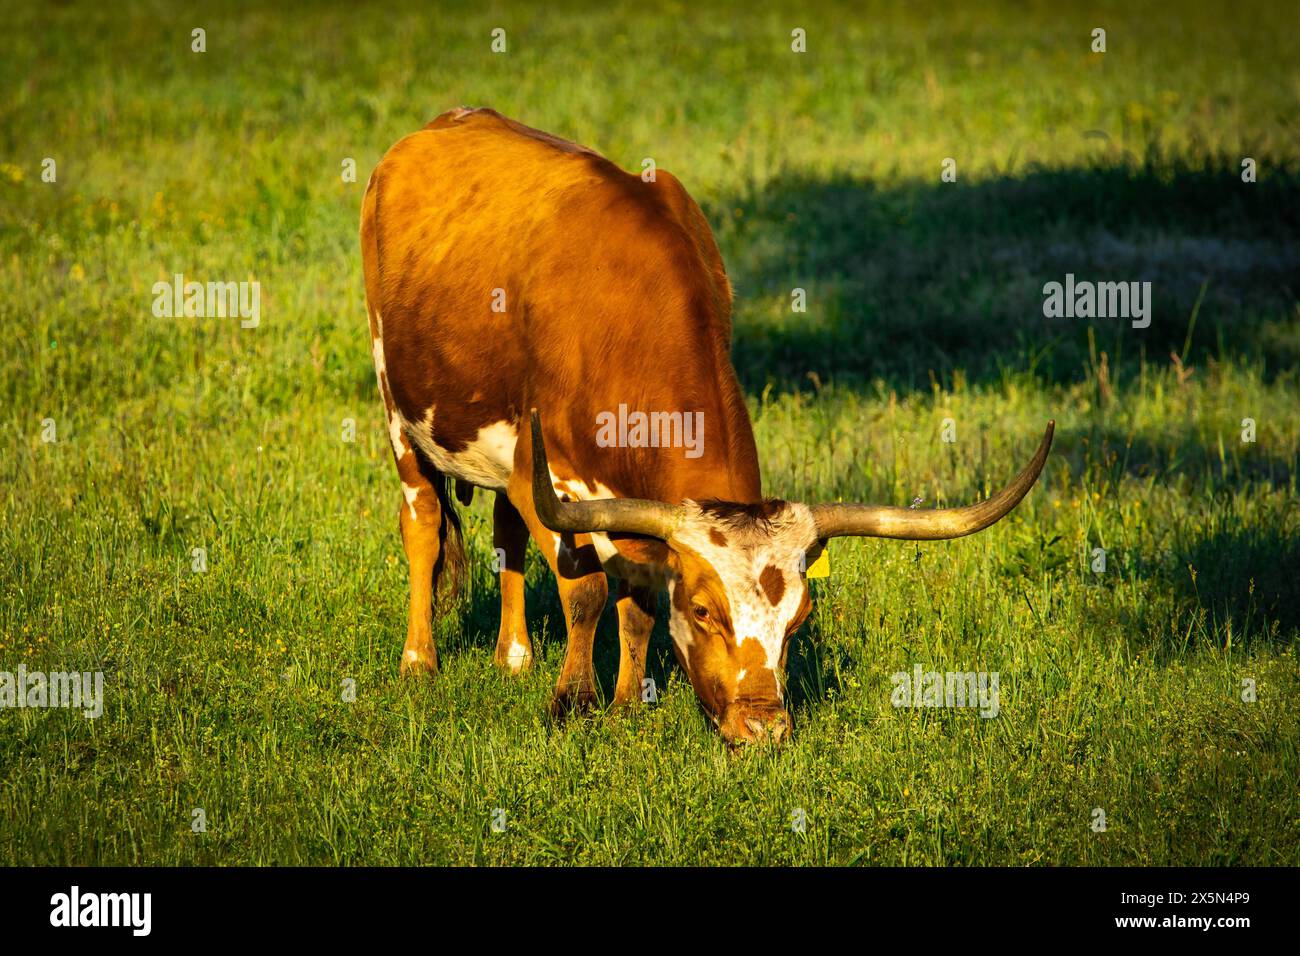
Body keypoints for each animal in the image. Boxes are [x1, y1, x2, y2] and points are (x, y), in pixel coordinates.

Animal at [360, 107, 1053, 745]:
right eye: (701, 609)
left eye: (800, 617)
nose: (763, 727)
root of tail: (444, 123)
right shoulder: (548, 472)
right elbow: (585, 591)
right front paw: (572, 702)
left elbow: (638, 602)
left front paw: (626, 704)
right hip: (398, 408)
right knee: (423, 525)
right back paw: (420, 662)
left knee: (506, 530)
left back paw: (514, 656)